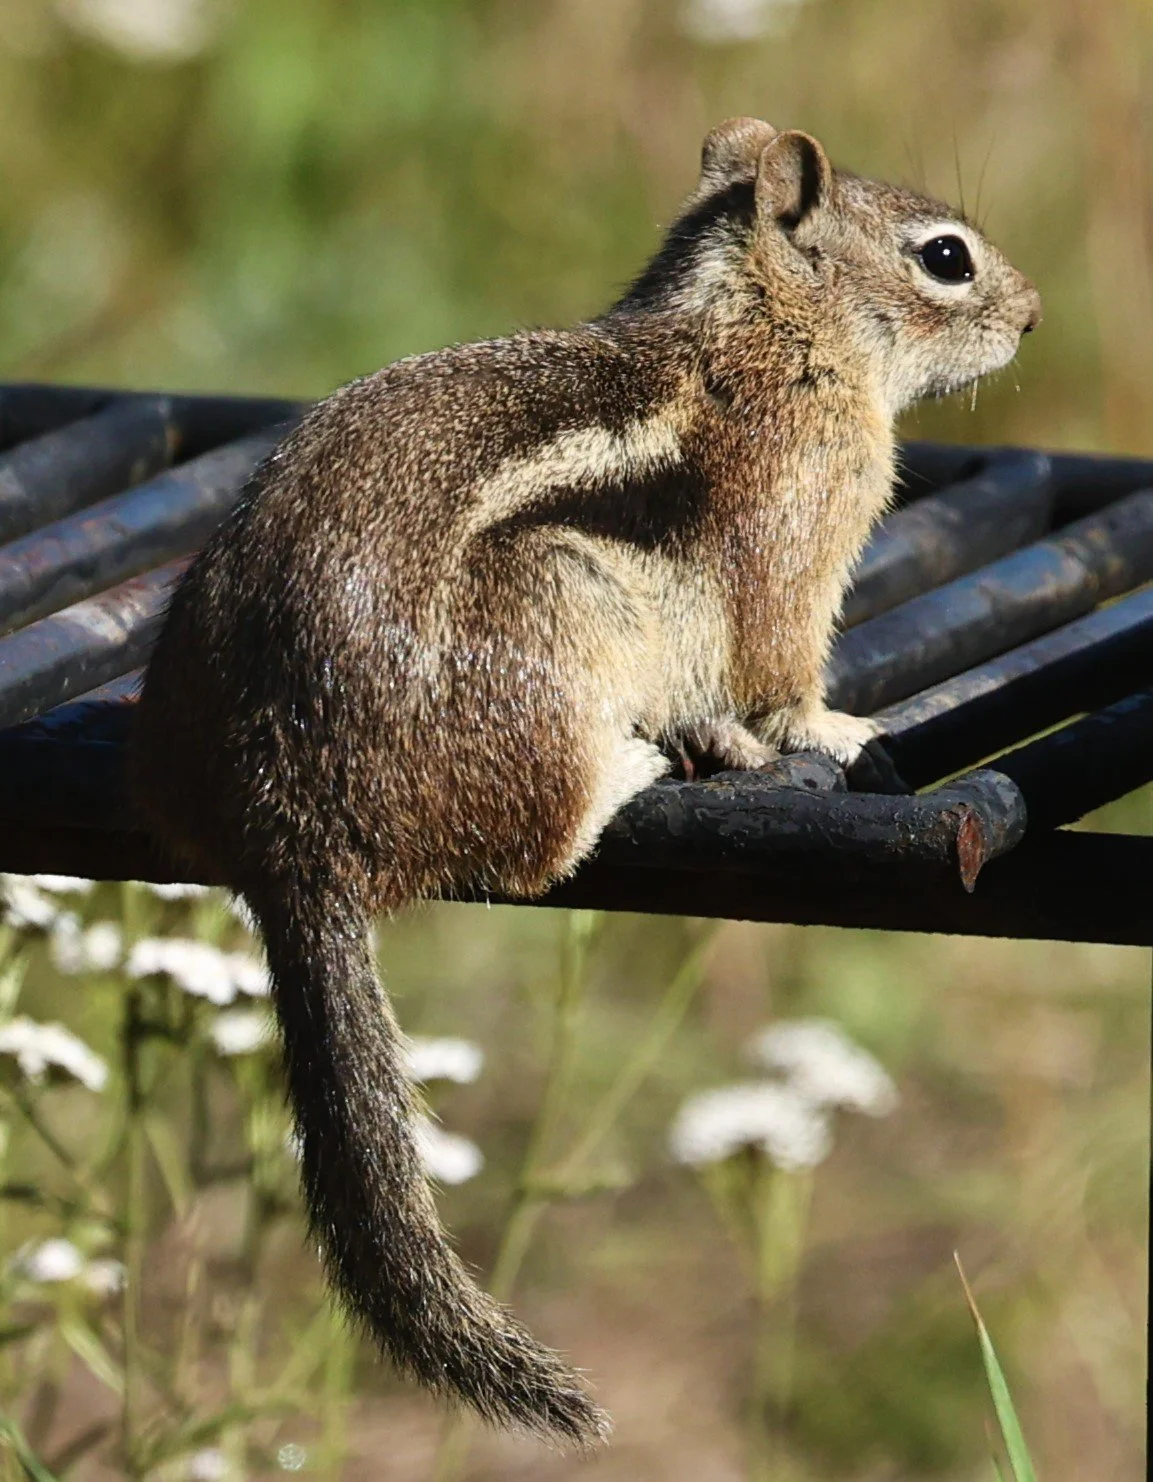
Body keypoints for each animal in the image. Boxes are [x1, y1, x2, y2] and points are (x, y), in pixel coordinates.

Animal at [131, 118, 1041, 1445]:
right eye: (945, 258)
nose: (1031, 315)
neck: (762, 328)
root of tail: (288, 826)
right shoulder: (800, 528)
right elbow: (782, 670)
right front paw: (829, 724)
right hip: (560, 609)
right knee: (536, 847)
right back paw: (634, 764)